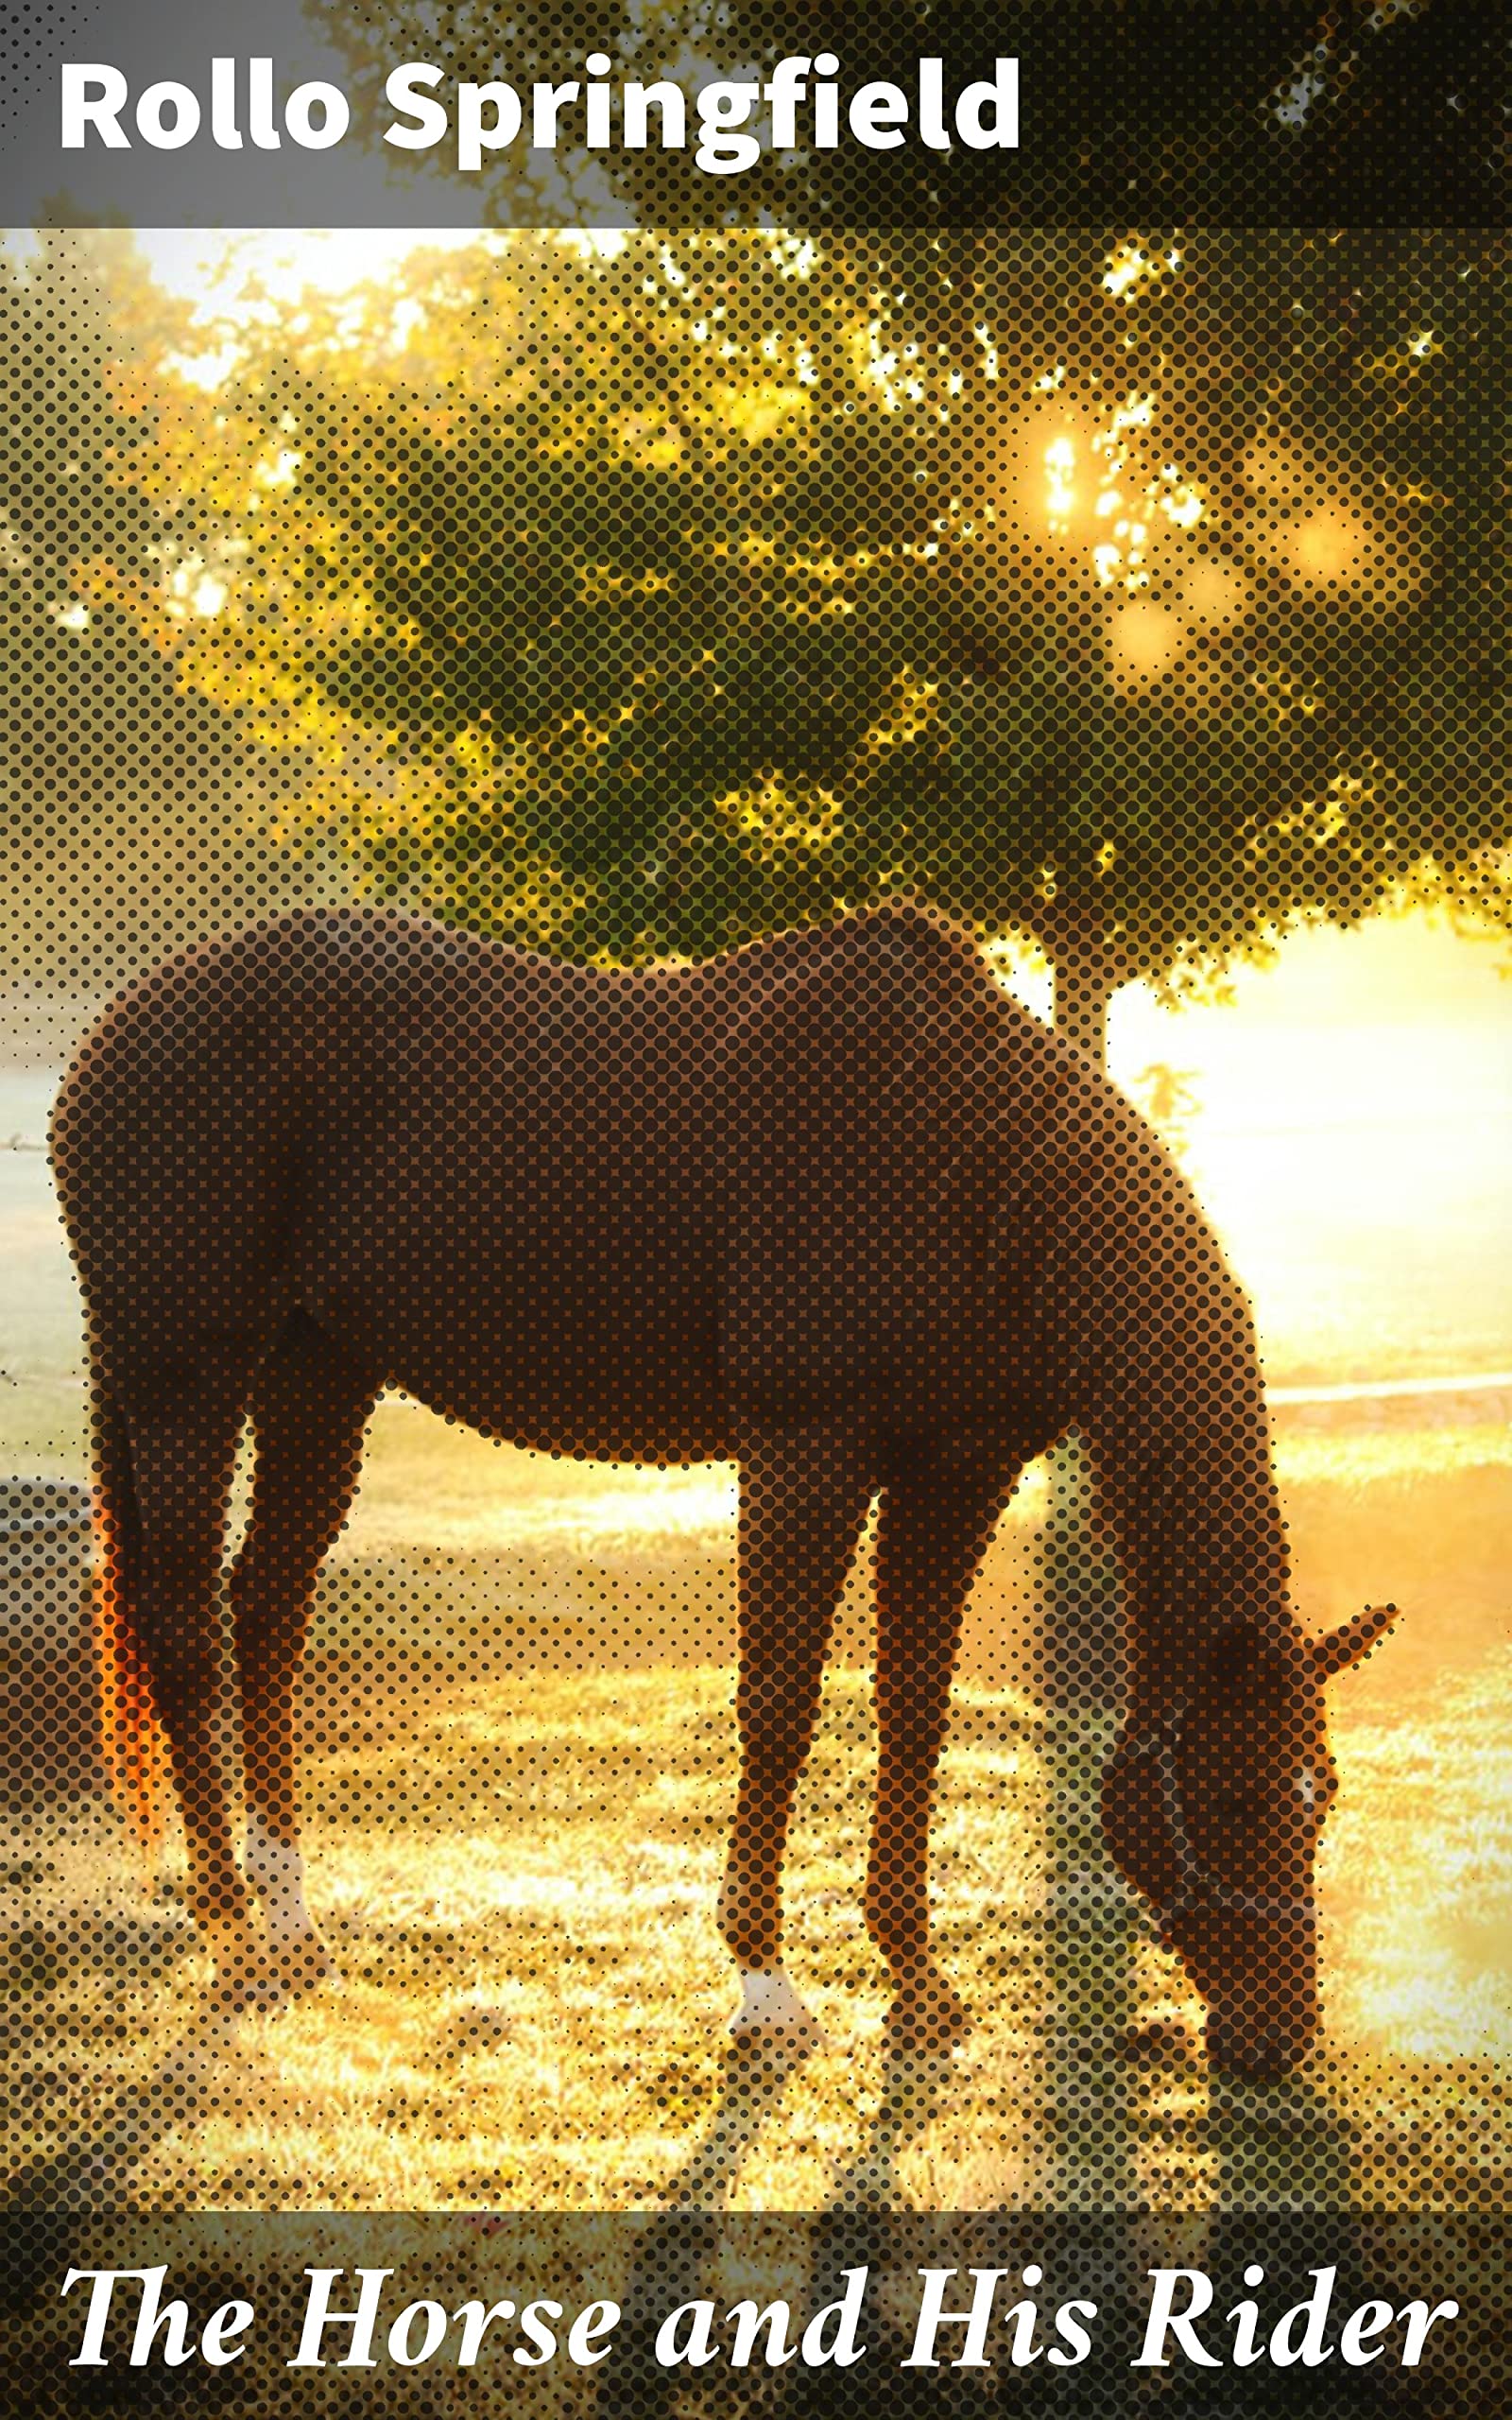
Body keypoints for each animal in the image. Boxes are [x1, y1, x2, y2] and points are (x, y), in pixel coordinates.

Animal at [49, 902, 1395, 2077]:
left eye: (1319, 1797)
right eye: (1230, 1800)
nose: (1278, 2043)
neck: (953, 1161)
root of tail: (115, 1029)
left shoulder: (955, 1471)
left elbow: (913, 1708)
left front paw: (917, 1981)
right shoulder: (804, 1451)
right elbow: (781, 1706)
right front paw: (765, 1989)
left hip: (319, 1377)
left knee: (265, 1610)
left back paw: (288, 1916)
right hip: (183, 1378)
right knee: (182, 1622)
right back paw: (231, 1931)